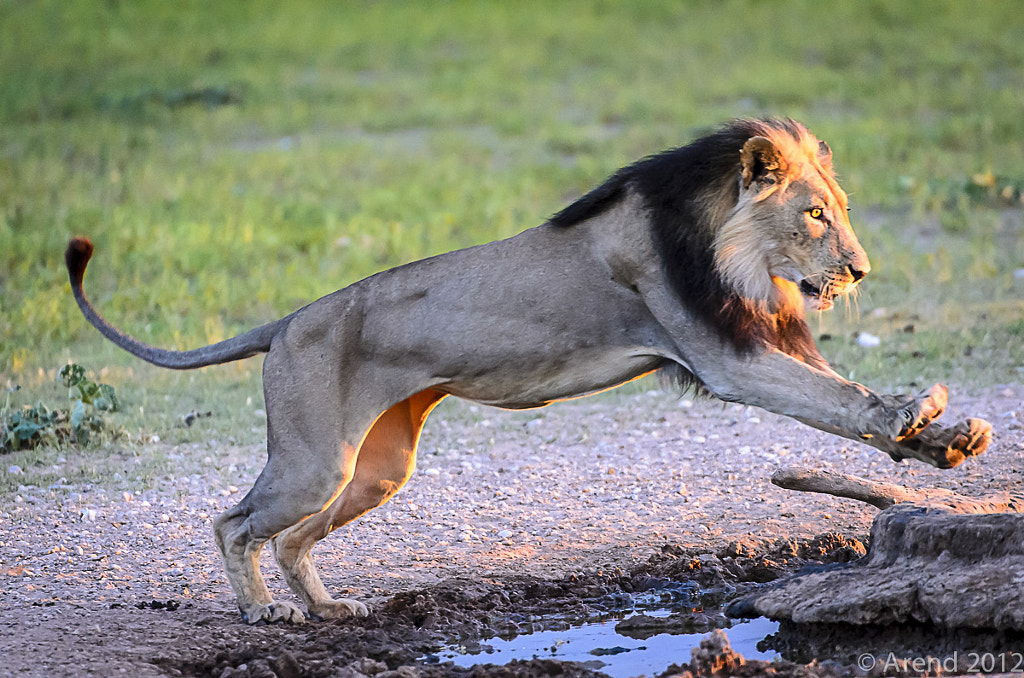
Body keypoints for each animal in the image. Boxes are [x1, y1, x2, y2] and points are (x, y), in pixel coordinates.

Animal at [65, 118, 992, 624]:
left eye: (839, 211)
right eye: (814, 215)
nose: (862, 270)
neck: (729, 246)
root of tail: (290, 318)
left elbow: (847, 403)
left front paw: (946, 439)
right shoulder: (721, 352)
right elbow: (834, 398)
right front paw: (910, 413)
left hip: (375, 468)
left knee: (292, 538)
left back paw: (328, 609)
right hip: (312, 460)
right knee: (234, 523)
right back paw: (260, 611)